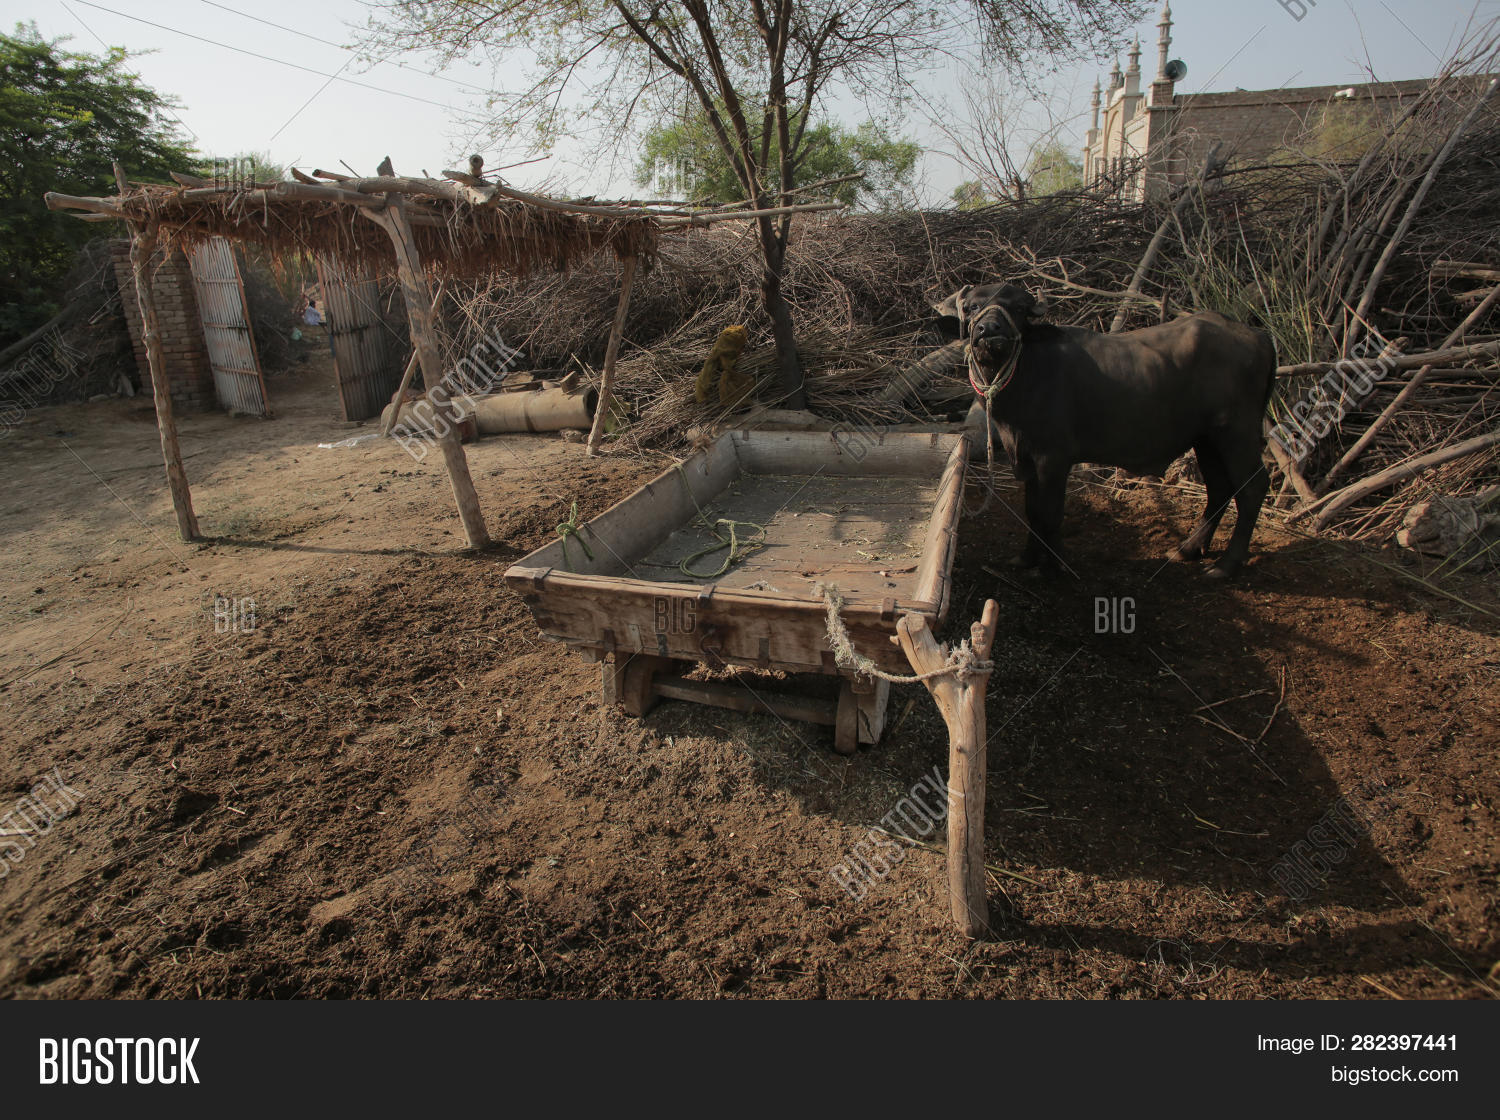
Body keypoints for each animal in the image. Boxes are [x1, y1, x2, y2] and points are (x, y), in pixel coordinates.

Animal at [934, 283, 1275, 578]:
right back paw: (1188, 549)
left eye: (1017, 308)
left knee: (1253, 487)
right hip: (1206, 439)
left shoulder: (1053, 459)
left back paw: (1226, 565)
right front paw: (1027, 557)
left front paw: (1052, 567)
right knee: (1219, 488)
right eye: (973, 306)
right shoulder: (1026, 456)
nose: (990, 329)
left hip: (1236, 432)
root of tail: (1258, 335)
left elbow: (1050, 512)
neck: (1024, 374)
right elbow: (1032, 510)